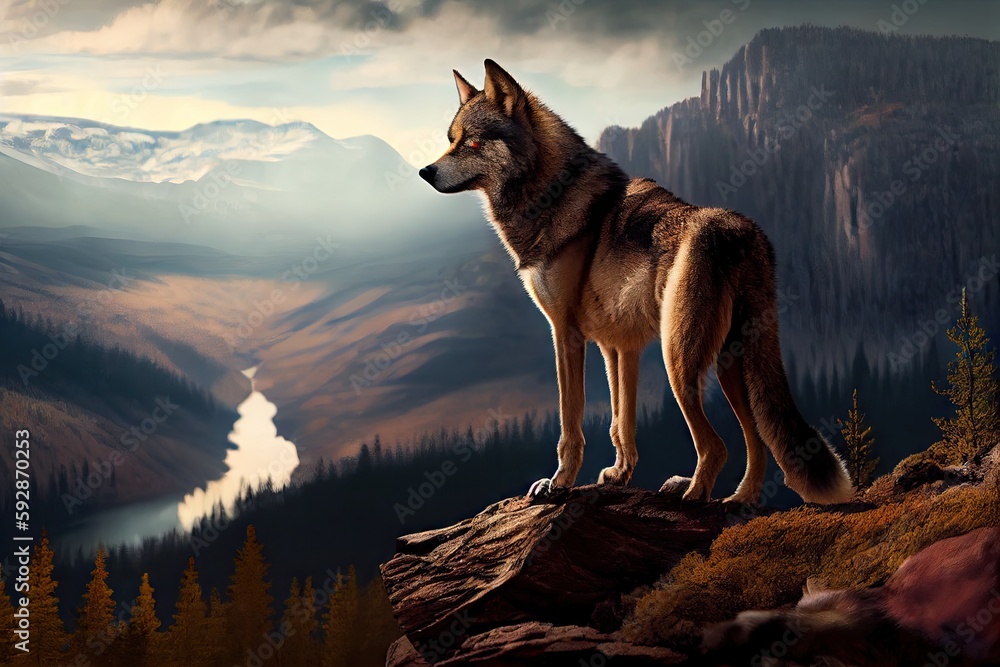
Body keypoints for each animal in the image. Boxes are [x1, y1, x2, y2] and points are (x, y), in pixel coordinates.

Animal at [419, 59, 853, 504]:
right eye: (451, 140)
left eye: (472, 143)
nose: (424, 171)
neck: (551, 197)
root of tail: (741, 233)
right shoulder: (618, 347)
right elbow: (621, 422)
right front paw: (619, 475)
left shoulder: (566, 334)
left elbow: (571, 424)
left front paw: (559, 483)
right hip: (729, 365)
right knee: (757, 442)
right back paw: (735, 501)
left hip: (678, 358)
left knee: (717, 445)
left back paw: (692, 495)